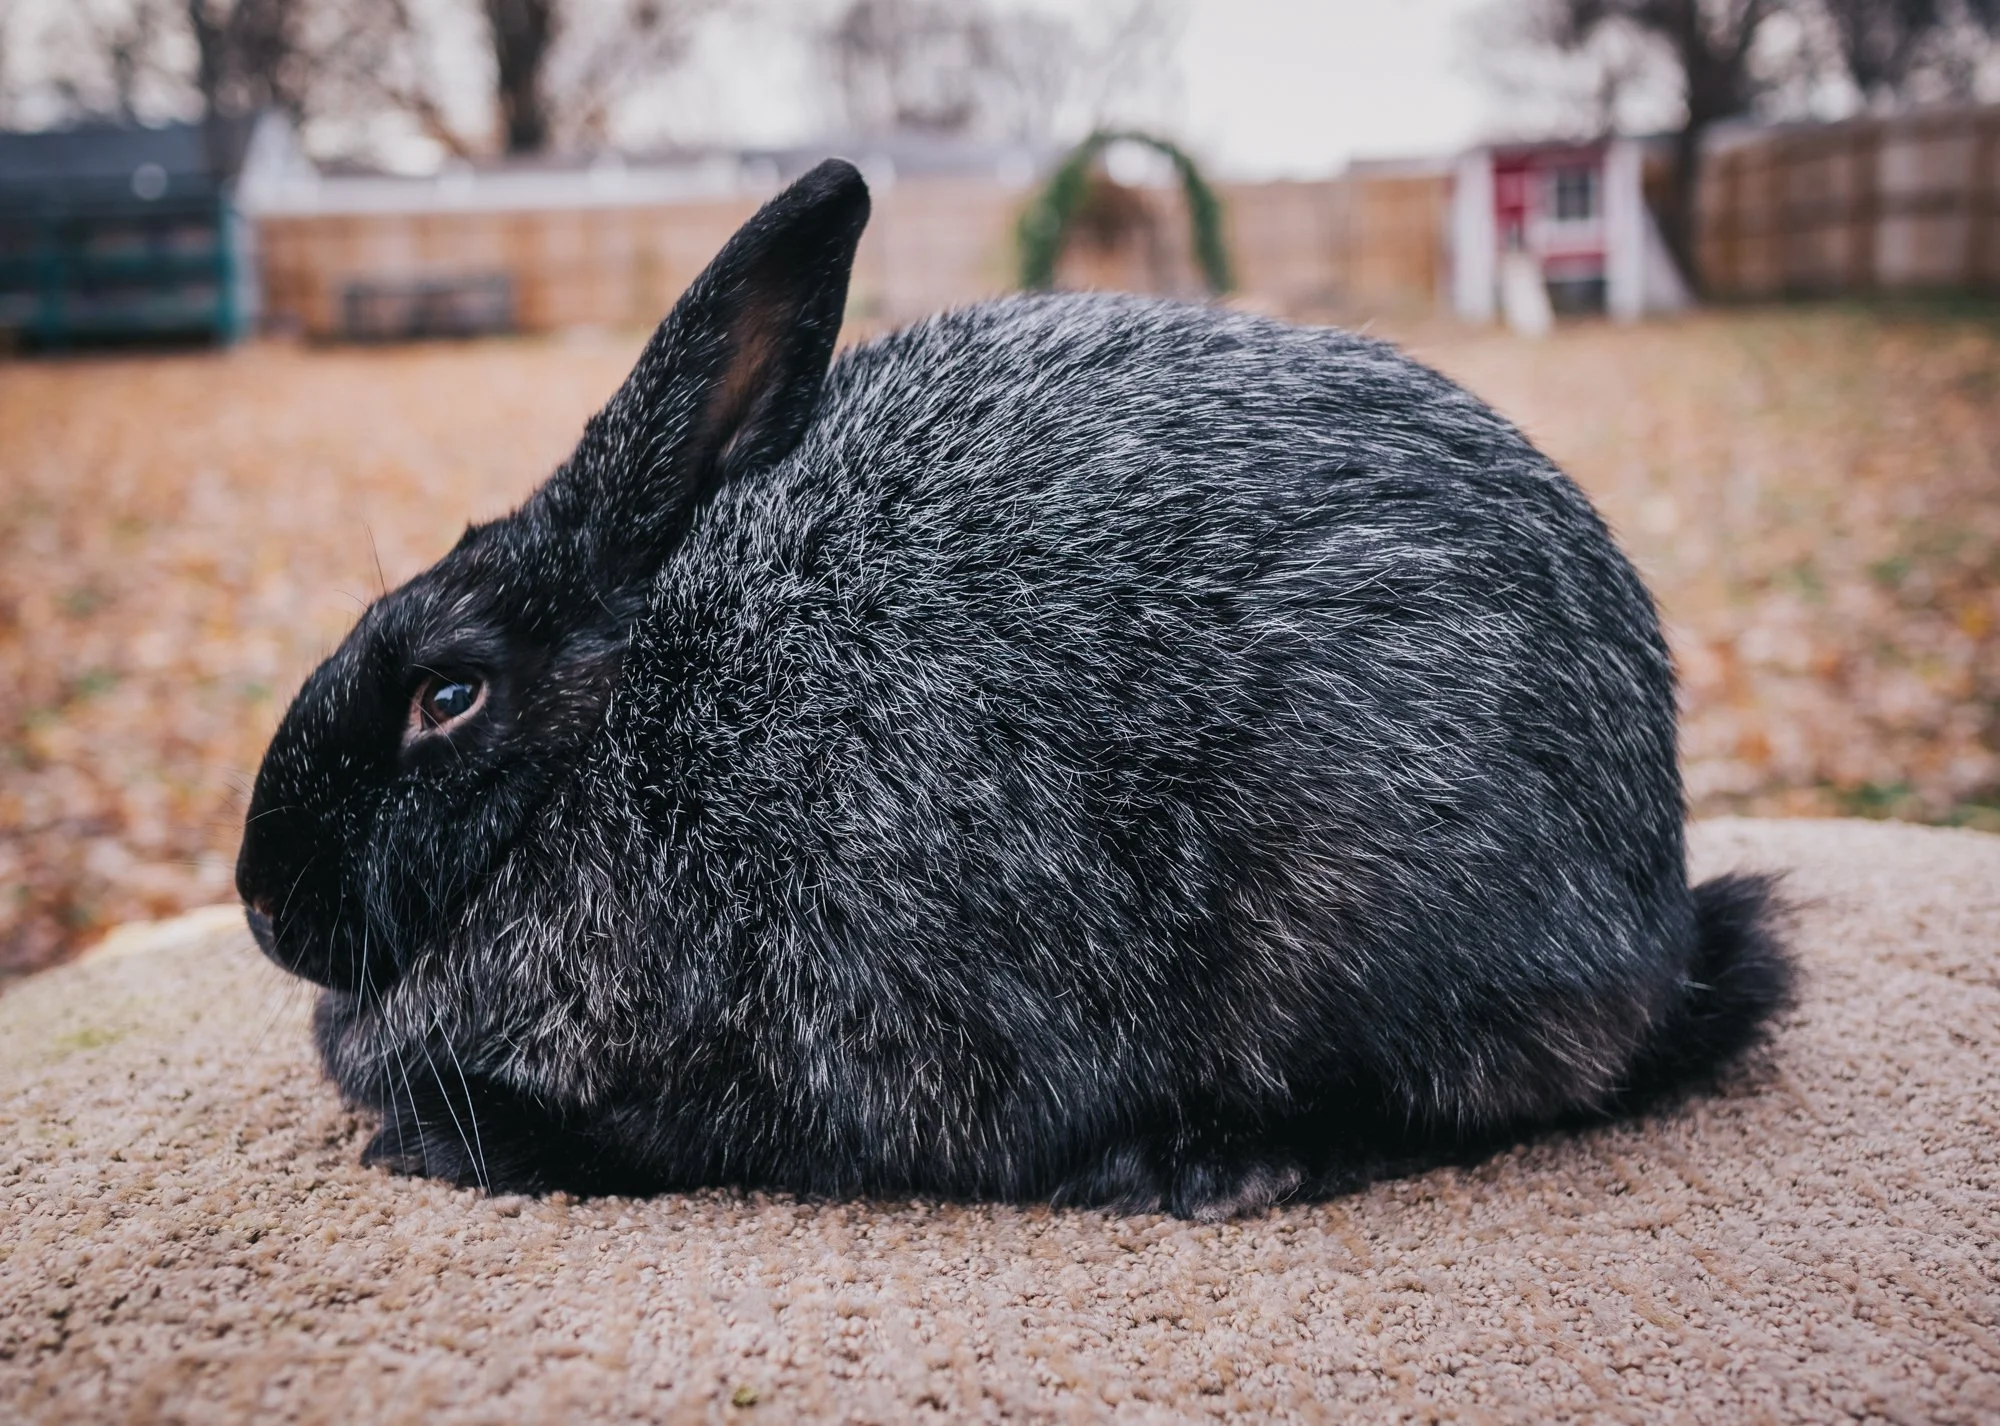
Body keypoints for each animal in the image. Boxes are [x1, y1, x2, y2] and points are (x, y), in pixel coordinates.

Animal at [236, 158, 1794, 1220]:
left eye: (446, 695)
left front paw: (439, 1139)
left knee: (1448, 1105)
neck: (613, 731)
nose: (258, 899)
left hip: (1362, 913)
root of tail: (1656, 922)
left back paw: (1200, 1161)